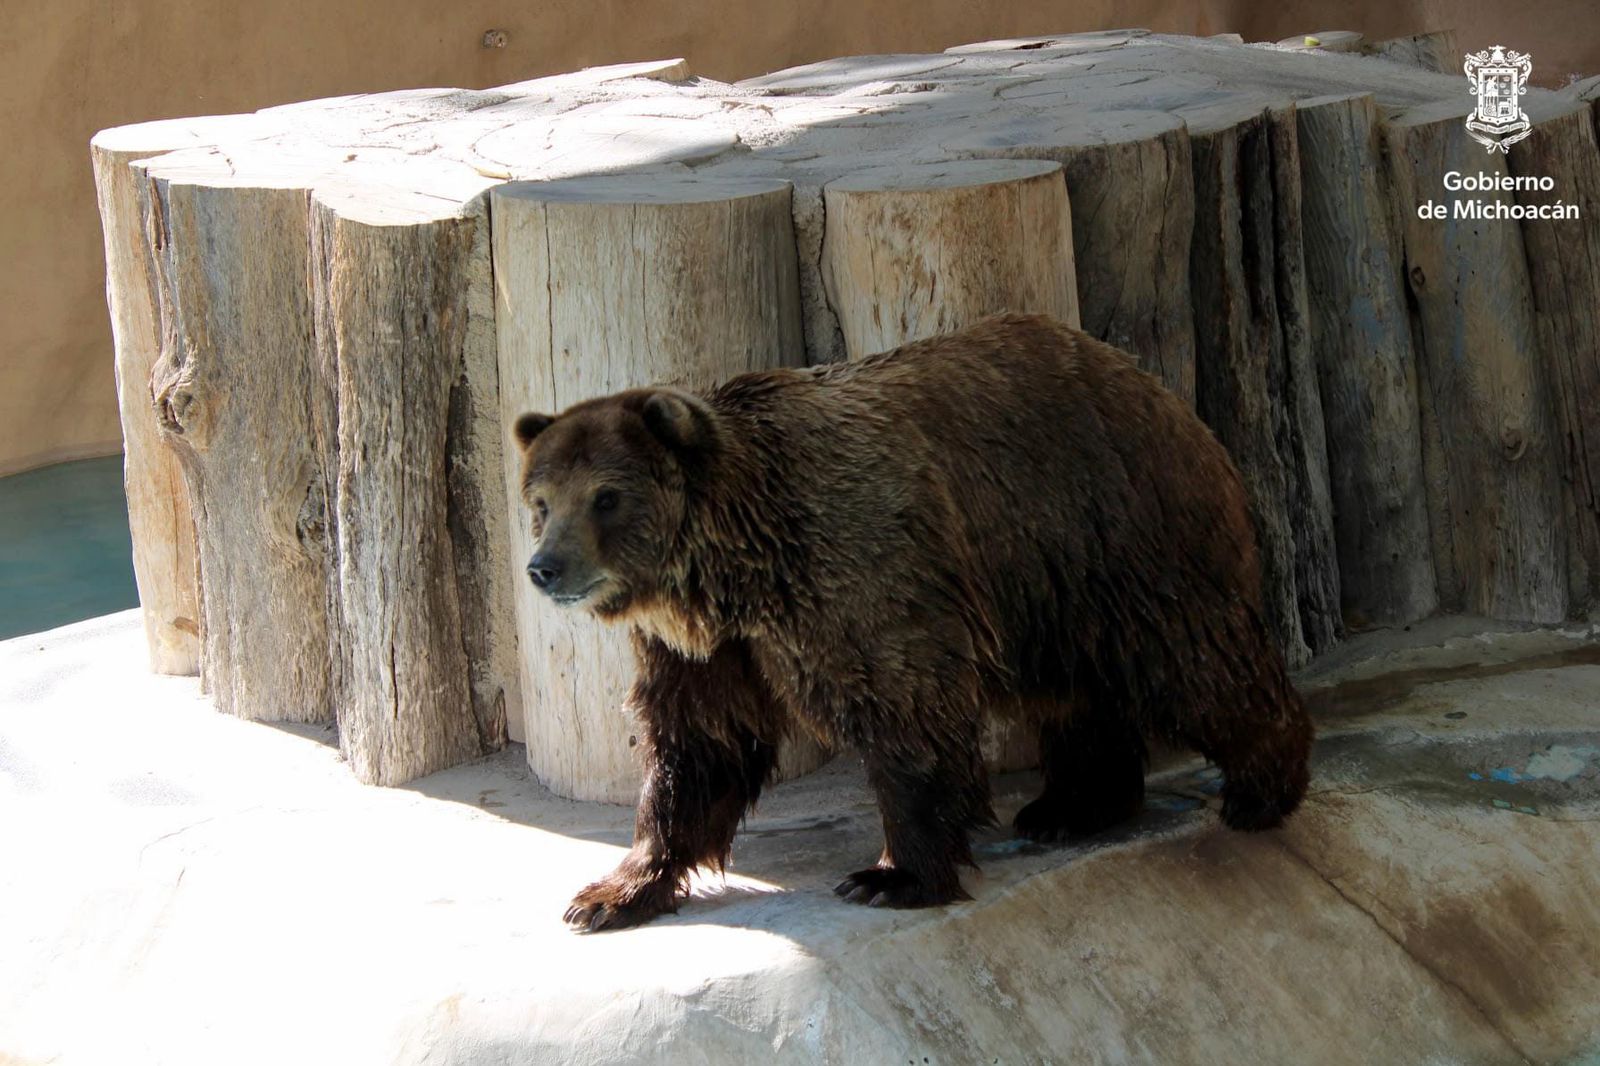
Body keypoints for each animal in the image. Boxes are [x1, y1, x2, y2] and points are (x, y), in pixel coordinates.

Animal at [510, 312, 1313, 932]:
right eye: (543, 501)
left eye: (606, 496)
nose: (545, 567)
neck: (736, 570)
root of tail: (1155, 384)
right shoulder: (702, 648)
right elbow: (698, 743)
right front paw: (610, 893)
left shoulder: (856, 569)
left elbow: (905, 715)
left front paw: (890, 875)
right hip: (1049, 586)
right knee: (1079, 689)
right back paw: (1071, 805)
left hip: (1111, 530)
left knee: (1194, 658)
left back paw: (1261, 788)